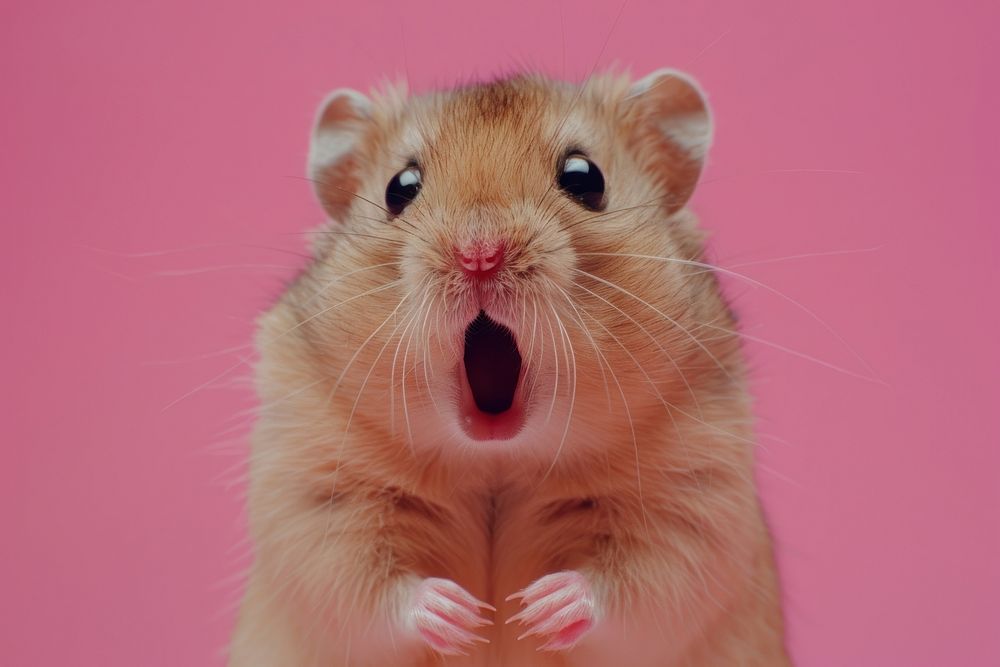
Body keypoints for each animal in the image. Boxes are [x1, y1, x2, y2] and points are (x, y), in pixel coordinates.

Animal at [229, 69, 789, 667]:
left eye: (585, 178)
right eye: (400, 188)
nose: (479, 254)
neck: (496, 460)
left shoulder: (693, 498)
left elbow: (639, 583)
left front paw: (536, 608)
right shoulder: (316, 493)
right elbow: (363, 583)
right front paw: (465, 616)